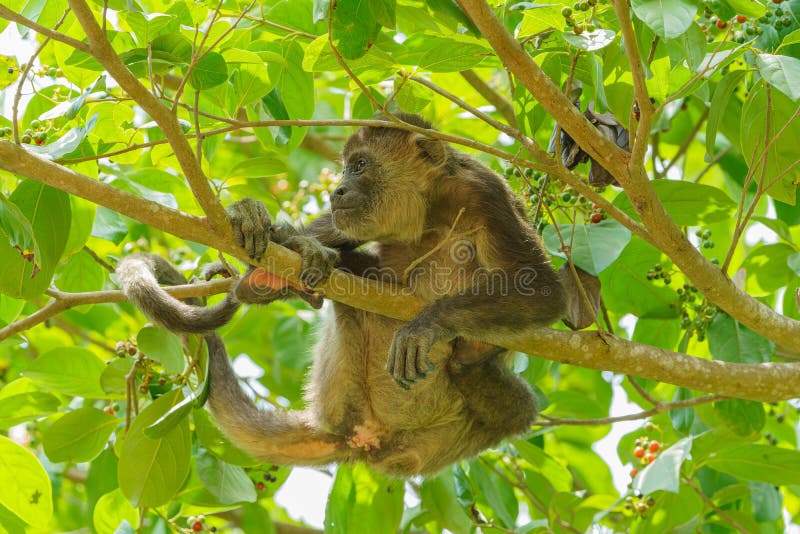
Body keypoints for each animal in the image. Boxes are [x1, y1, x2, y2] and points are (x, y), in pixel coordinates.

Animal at [117, 113, 566, 477]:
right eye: (346, 169)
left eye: (360, 165)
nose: (337, 190)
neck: (429, 209)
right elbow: (333, 233)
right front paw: (273, 235)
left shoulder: (482, 191)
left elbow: (544, 291)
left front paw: (426, 325)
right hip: (340, 388)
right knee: (349, 272)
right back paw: (271, 278)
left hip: (441, 442)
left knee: (519, 408)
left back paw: (472, 360)